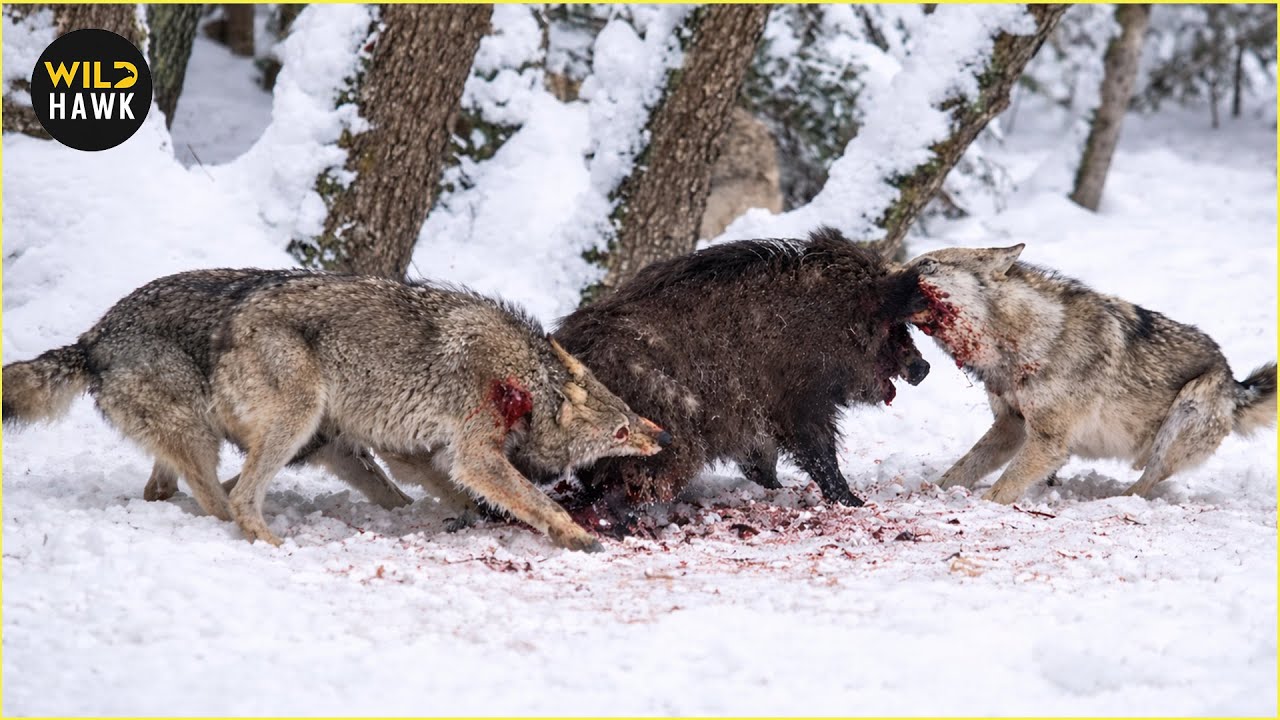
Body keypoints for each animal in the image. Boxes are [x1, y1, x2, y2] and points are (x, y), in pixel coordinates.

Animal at [3, 270, 670, 550]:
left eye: (633, 414)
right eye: (621, 430)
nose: (659, 437)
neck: (522, 381)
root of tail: (90, 341)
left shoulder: (413, 453)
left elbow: (439, 492)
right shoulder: (474, 455)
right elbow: (531, 498)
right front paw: (574, 535)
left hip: (293, 437)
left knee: (182, 488)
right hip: (291, 423)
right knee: (233, 496)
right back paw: (266, 541)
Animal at [552, 227, 930, 515]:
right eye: (889, 325)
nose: (923, 367)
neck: (831, 321)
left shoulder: (754, 417)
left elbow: (763, 461)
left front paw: (777, 488)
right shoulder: (798, 402)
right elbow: (819, 453)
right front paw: (854, 502)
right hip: (663, 439)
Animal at [905, 244, 1276, 503]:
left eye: (927, 264)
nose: (892, 271)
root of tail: (1236, 383)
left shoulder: (1048, 440)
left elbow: (1002, 489)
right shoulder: (1011, 425)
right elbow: (959, 469)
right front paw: (931, 493)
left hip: (1185, 410)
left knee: (1146, 481)